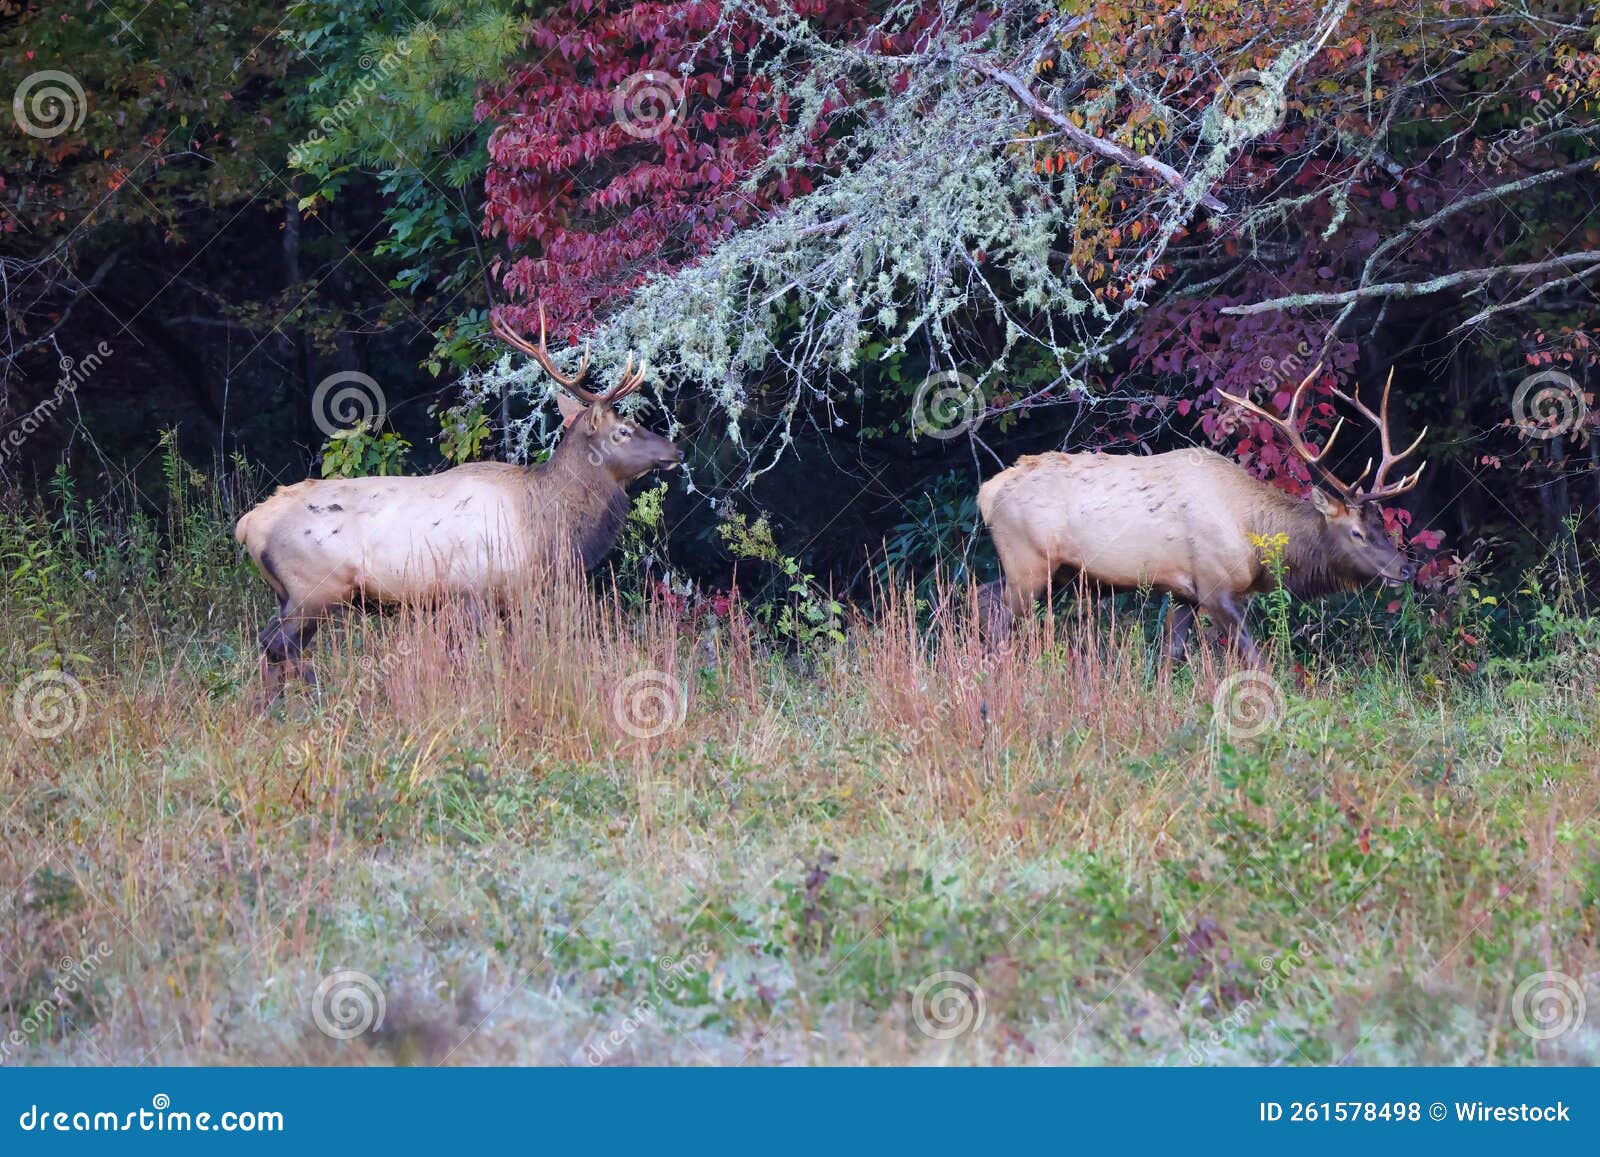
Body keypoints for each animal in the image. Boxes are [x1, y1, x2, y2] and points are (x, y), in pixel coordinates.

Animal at [235, 307, 682, 697]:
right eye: (624, 430)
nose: (674, 450)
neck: (545, 527)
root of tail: (248, 525)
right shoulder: (480, 591)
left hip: (291, 594)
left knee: (272, 646)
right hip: (313, 588)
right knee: (278, 643)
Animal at [976, 366, 1427, 664]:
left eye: (1382, 524)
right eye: (1356, 533)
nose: (1406, 569)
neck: (1252, 537)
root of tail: (987, 491)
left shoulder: (1183, 594)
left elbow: (1169, 657)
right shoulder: (1215, 587)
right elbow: (1254, 657)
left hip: (1050, 572)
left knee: (981, 594)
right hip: (1029, 562)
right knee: (998, 616)